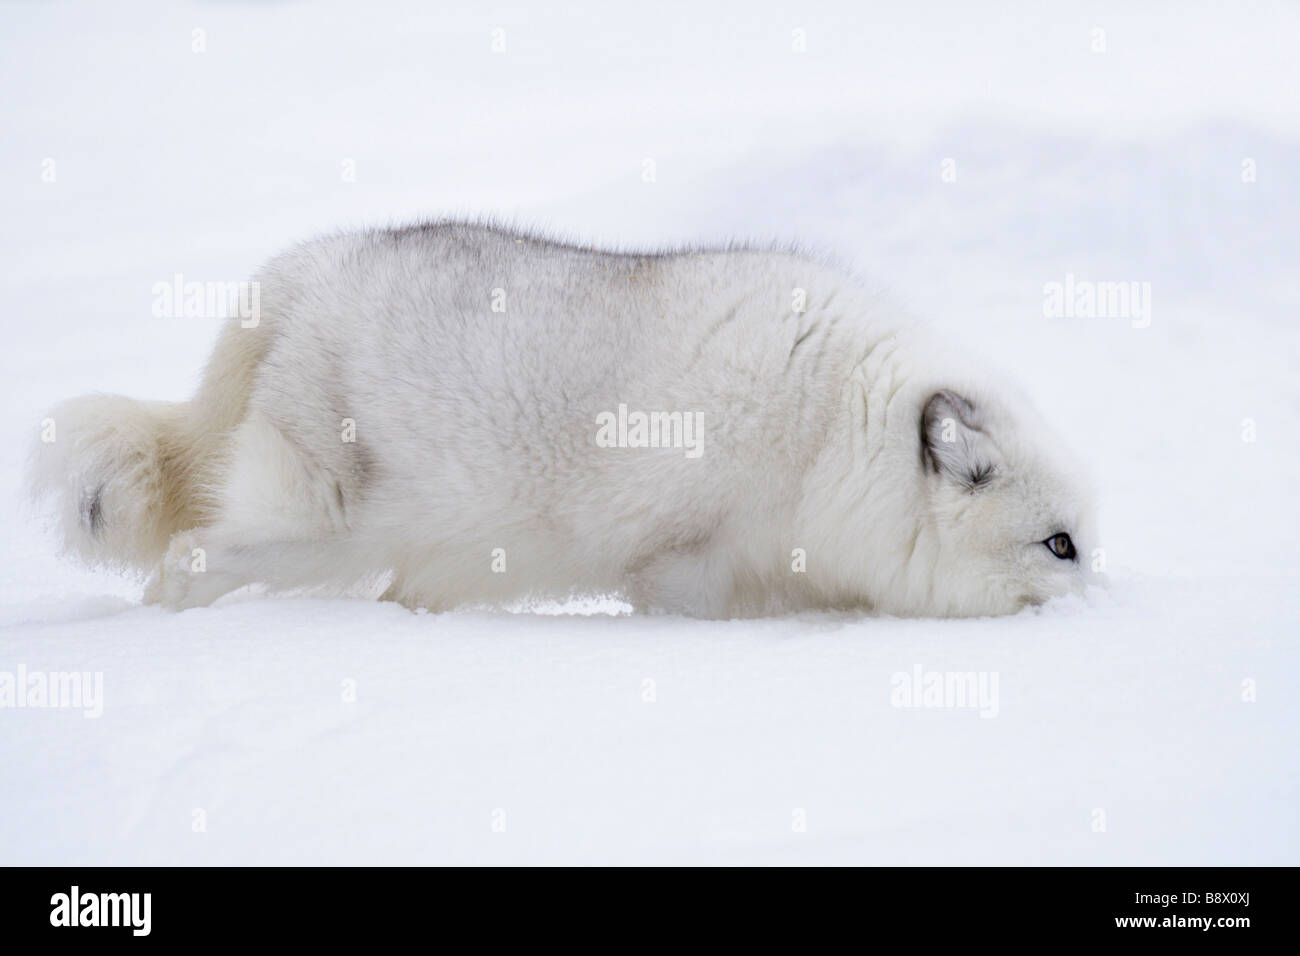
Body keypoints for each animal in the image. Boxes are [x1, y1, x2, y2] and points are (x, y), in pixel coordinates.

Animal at [30, 221, 1099, 617]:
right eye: (1060, 545)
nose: (1106, 620)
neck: (840, 430)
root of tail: (298, 271)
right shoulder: (684, 559)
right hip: (316, 527)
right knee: (185, 563)